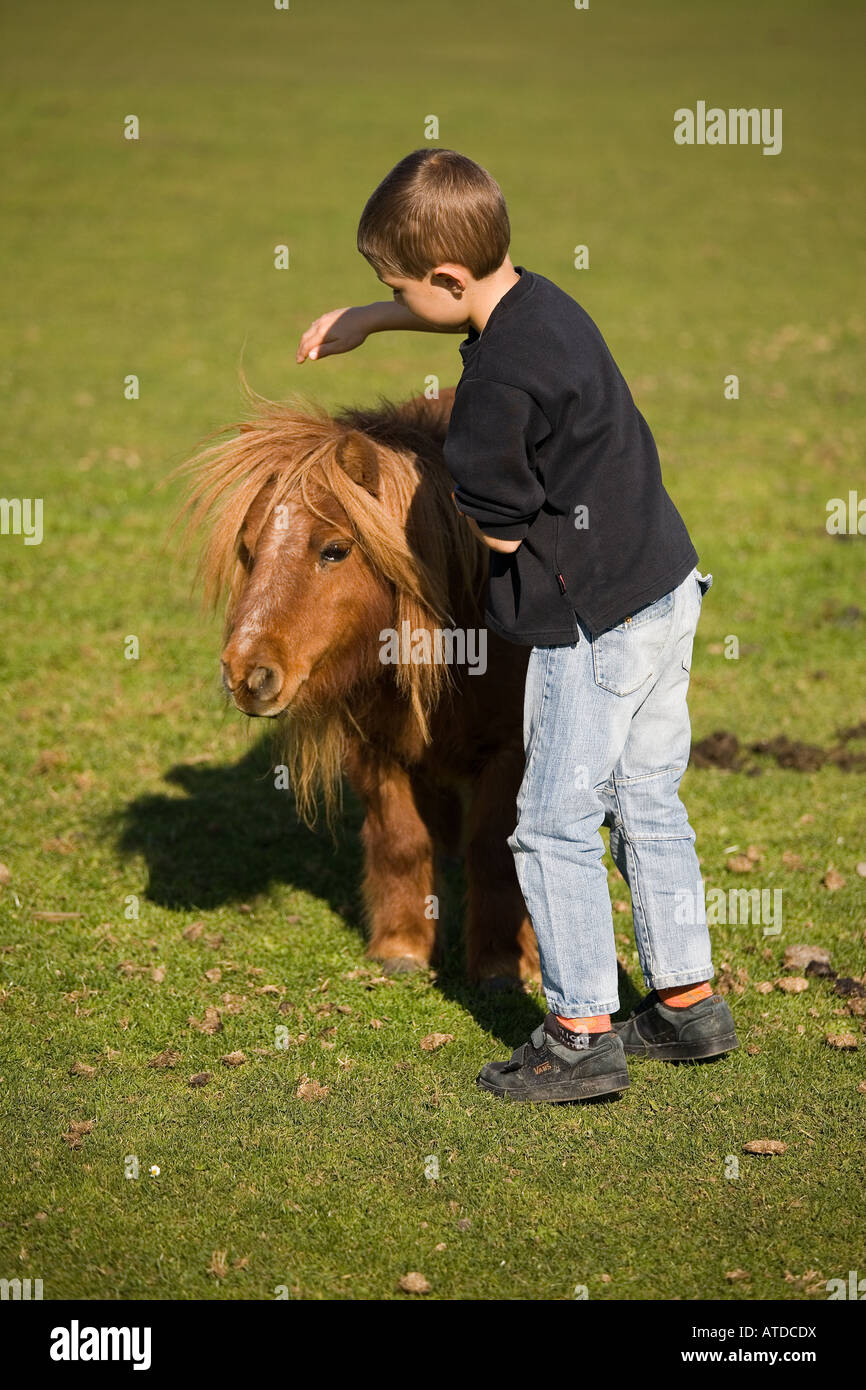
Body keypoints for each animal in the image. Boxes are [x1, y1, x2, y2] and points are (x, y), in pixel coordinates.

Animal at [179, 385, 539, 986]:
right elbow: (401, 842)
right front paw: (402, 947)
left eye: (335, 549)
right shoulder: (375, 747)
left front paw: (500, 965)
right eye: (248, 551)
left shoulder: (512, 751)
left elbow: (496, 850)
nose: (245, 674)